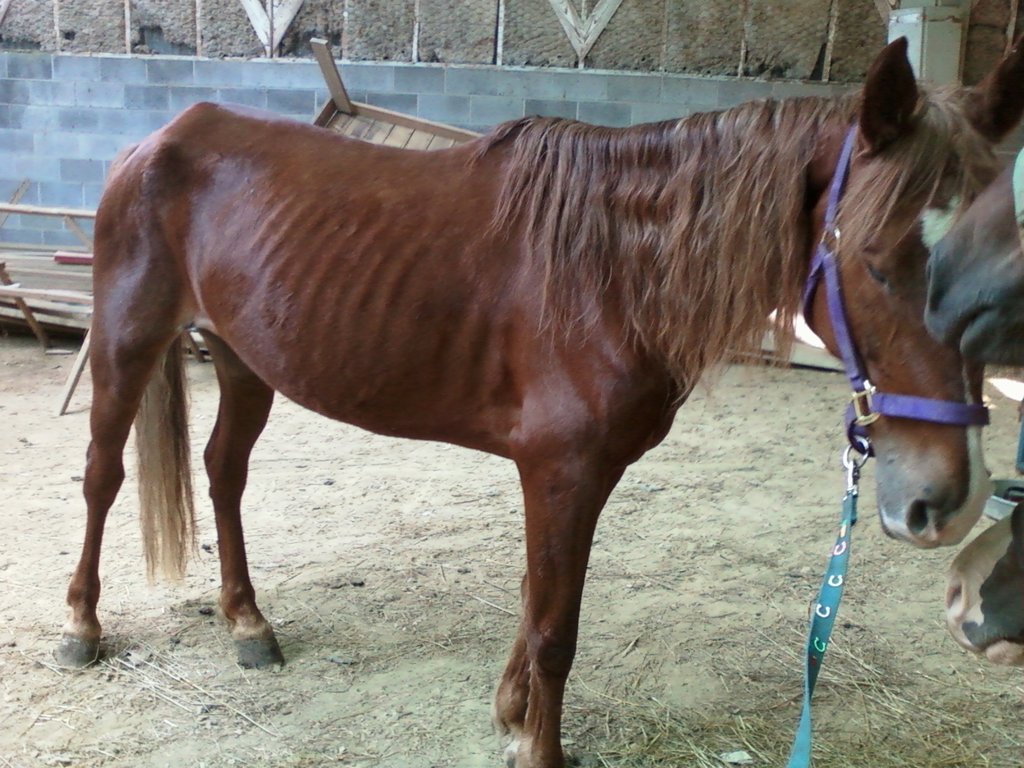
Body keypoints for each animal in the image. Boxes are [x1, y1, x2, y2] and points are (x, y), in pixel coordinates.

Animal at [57, 38, 1024, 767]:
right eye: (875, 260)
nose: (950, 499)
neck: (613, 270)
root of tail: (161, 138)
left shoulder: (569, 478)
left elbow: (535, 604)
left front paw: (512, 714)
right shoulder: (562, 471)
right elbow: (558, 626)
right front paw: (539, 747)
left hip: (243, 359)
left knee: (223, 473)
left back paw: (248, 624)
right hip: (126, 343)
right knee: (102, 475)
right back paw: (81, 627)